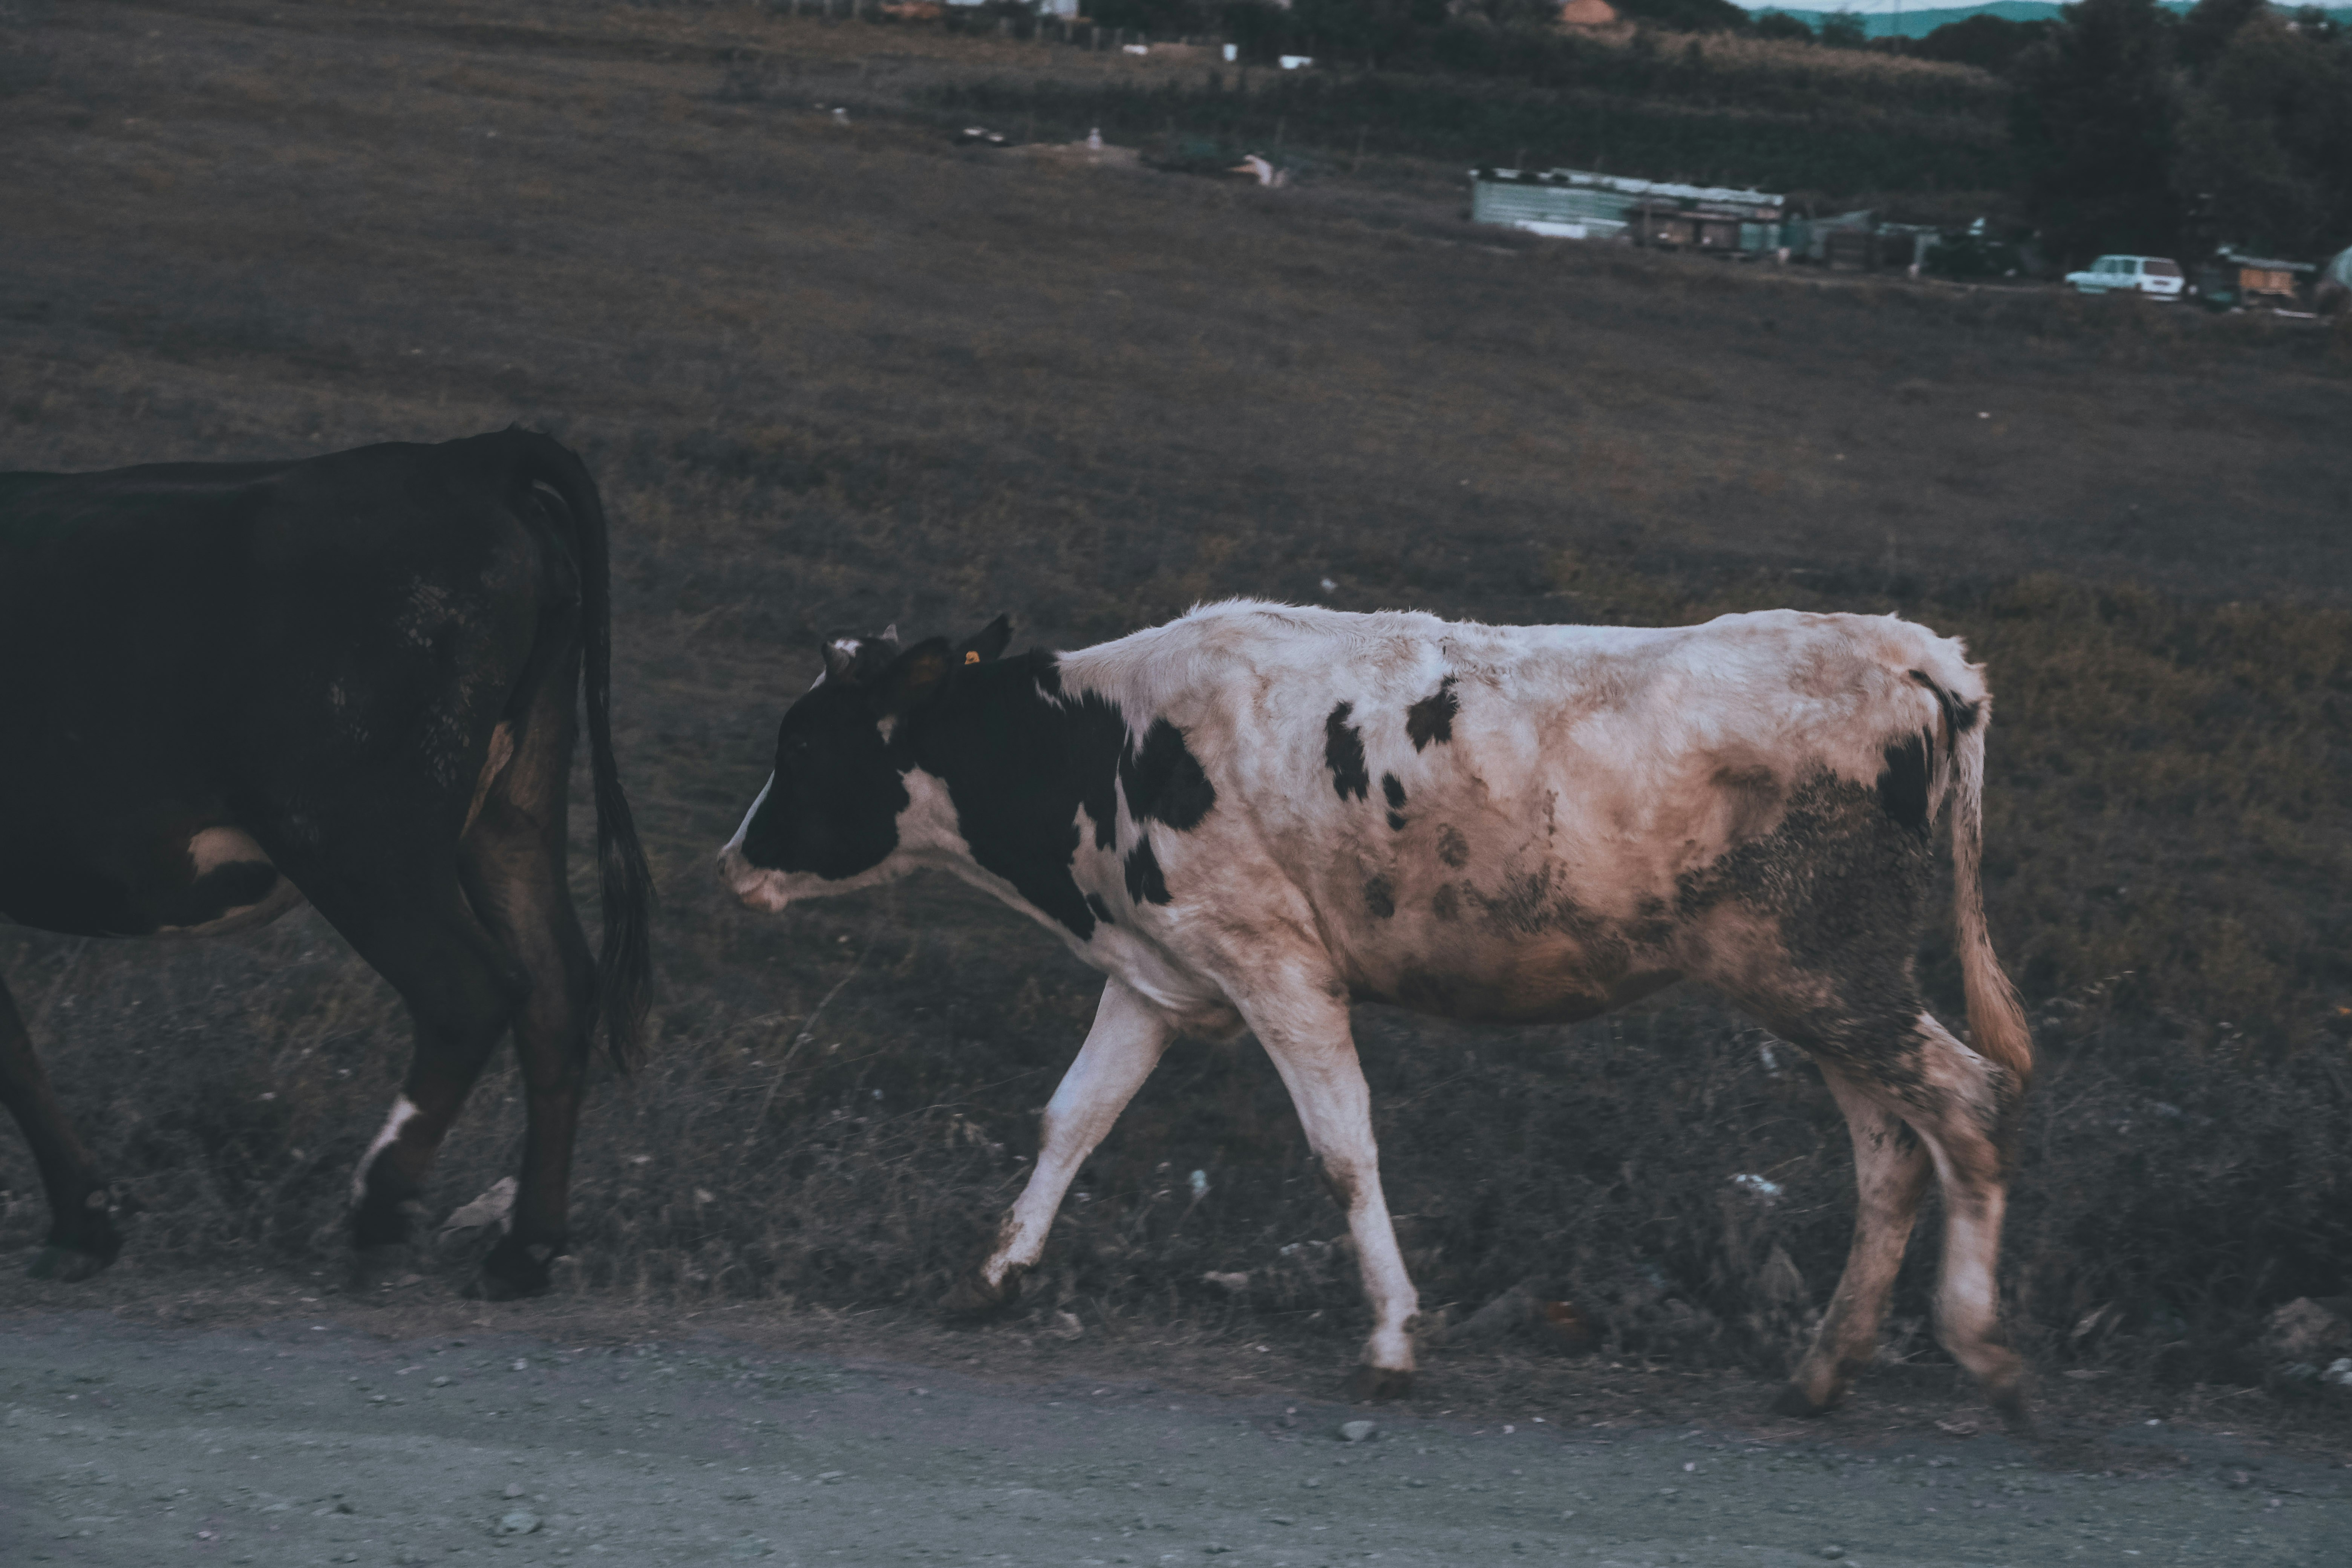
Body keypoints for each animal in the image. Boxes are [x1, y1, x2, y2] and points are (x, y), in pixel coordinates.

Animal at [0, 430, 652, 1300]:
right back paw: (523, 1252)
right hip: (512, 805)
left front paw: (81, 1223)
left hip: (359, 839)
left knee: (470, 988)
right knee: (555, 986)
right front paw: (86, 1222)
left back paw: (379, 1213)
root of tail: (469, 457)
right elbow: (13, 1044)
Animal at [716, 601, 2035, 1423]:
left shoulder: (1276, 963)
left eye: (802, 742)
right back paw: (1822, 1369)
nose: (733, 861)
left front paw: (1393, 1342)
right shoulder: (1156, 970)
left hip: (1824, 970)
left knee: (1965, 1100)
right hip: (1822, 983)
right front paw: (993, 1277)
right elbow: (1071, 1119)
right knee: (1891, 1151)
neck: (1106, 747)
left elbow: (1344, 1149)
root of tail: (1910, 648)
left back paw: (1976, 1341)